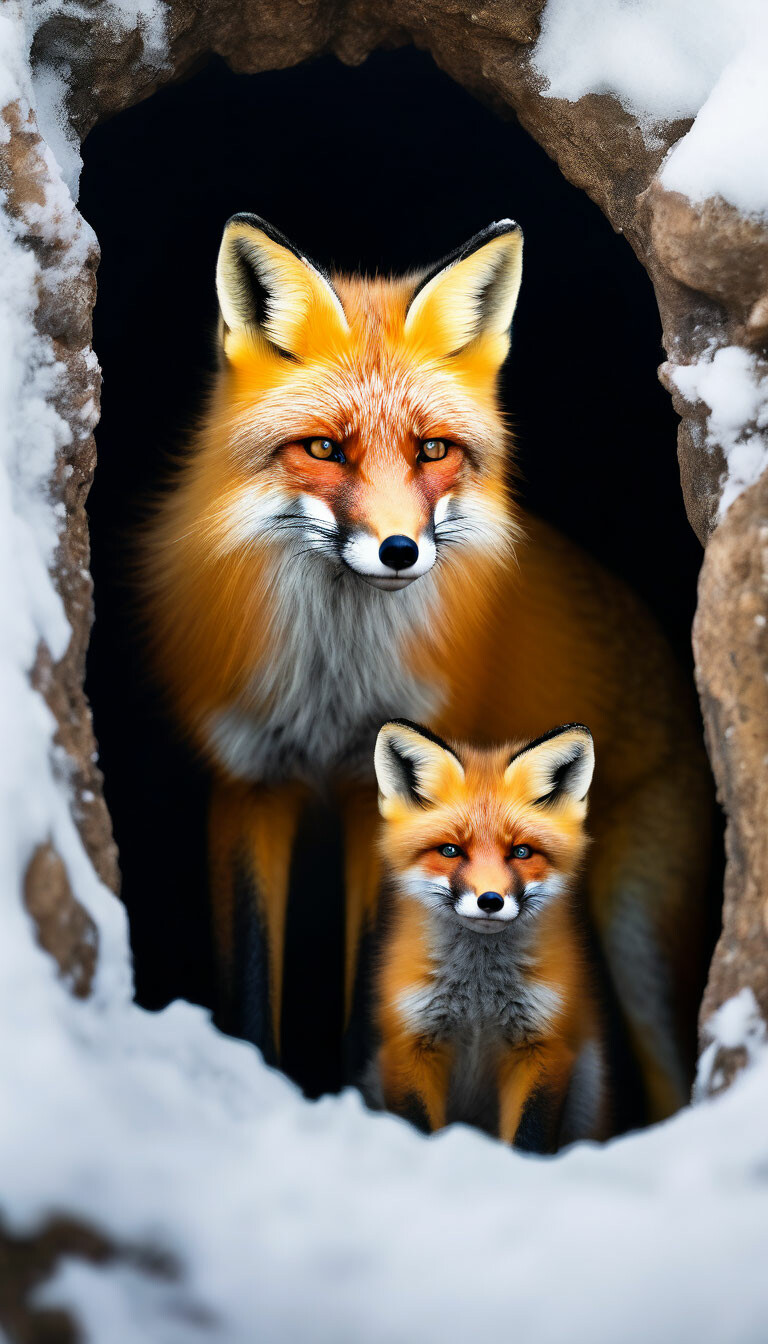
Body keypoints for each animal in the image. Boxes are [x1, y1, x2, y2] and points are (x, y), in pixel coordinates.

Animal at [367, 719, 607, 1149]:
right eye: (450, 851)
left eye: (522, 852)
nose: (490, 900)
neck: (478, 998)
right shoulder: (409, 1045)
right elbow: (417, 1125)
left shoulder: (542, 1048)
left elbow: (528, 1136)